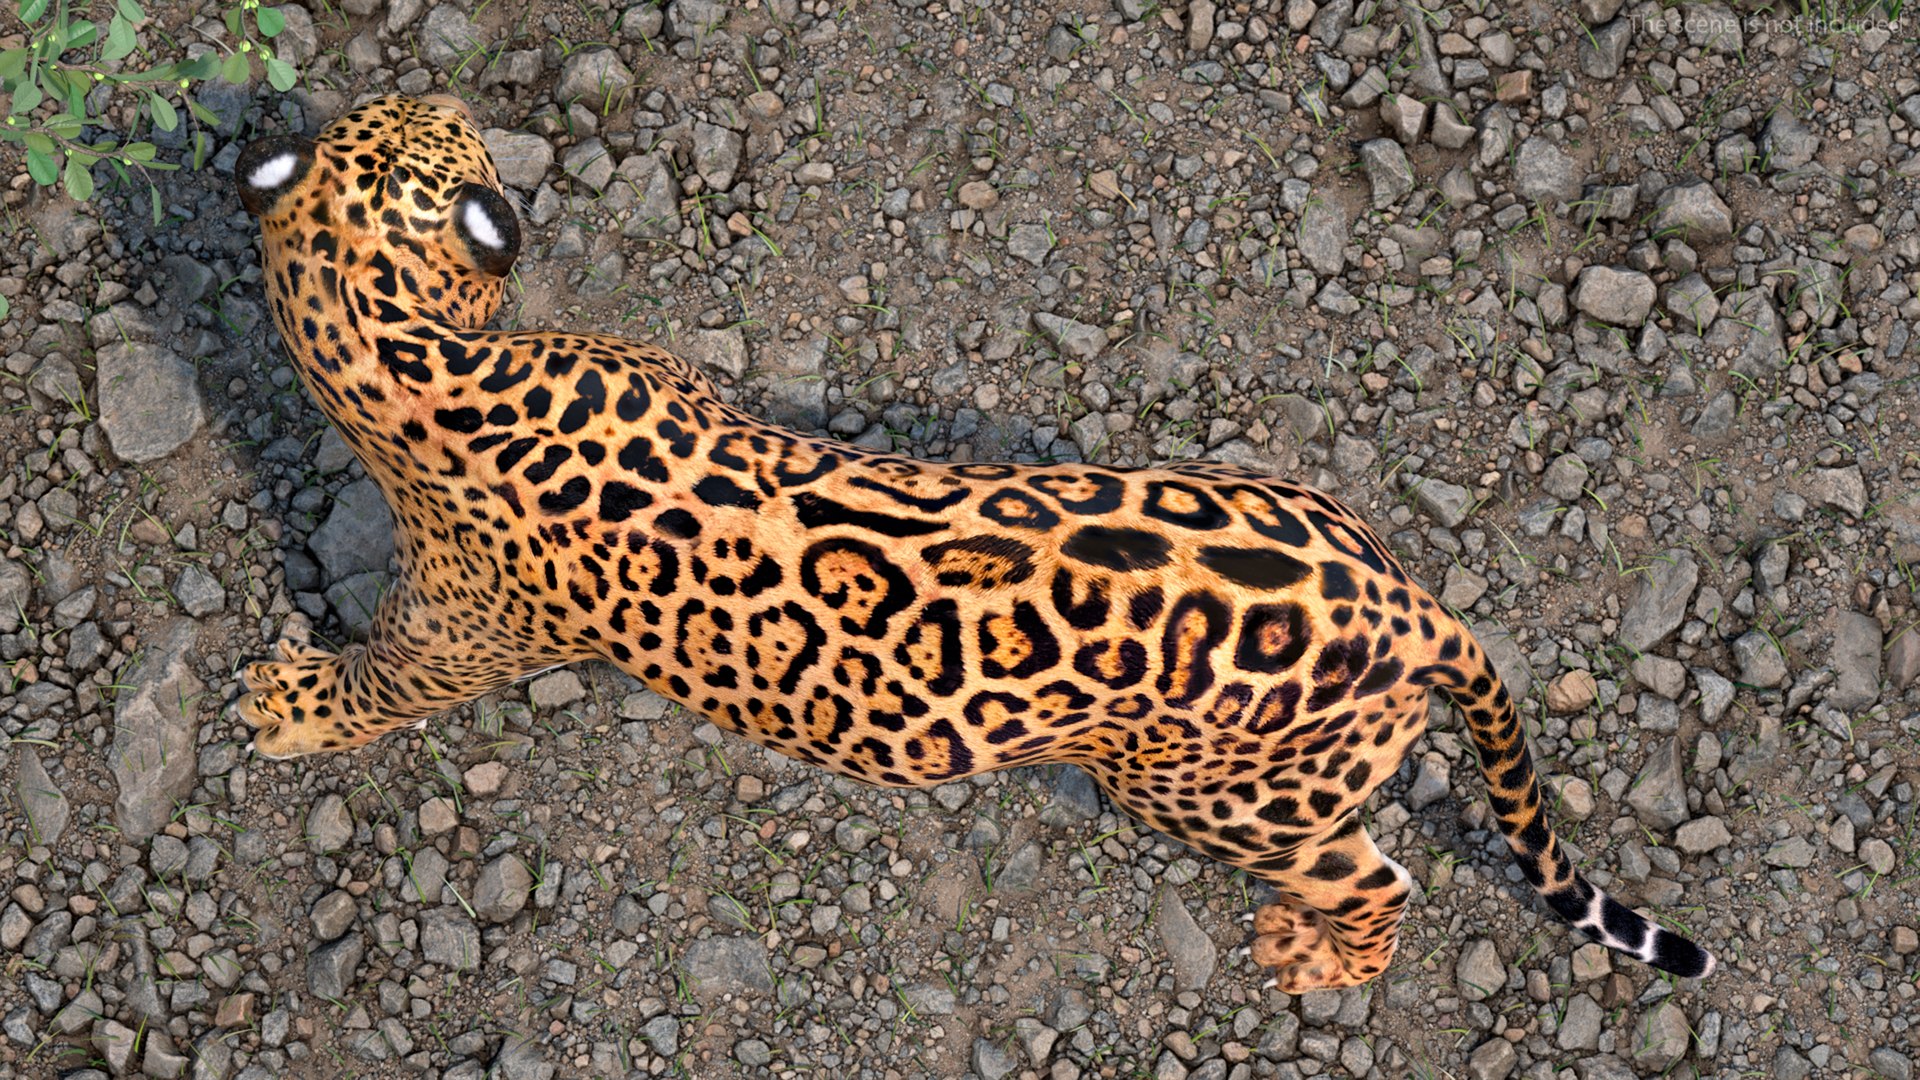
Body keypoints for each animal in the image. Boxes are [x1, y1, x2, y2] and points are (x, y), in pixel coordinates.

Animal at [232, 94, 1714, 992]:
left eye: (434, 130)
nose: (455, 99)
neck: (408, 350)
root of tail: (1413, 608)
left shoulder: (458, 630)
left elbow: (383, 683)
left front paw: (290, 705)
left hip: (1217, 799)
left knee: (1382, 874)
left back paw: (1323, 961)